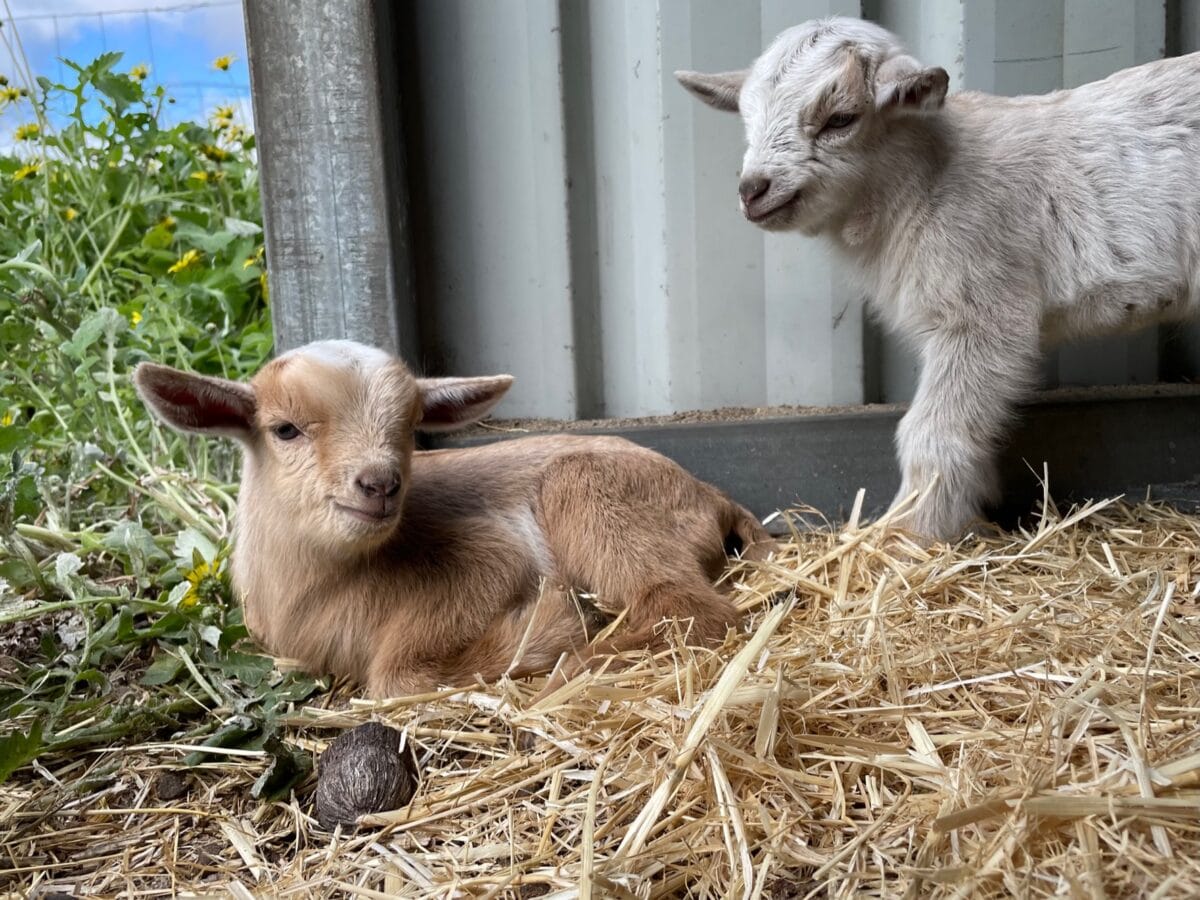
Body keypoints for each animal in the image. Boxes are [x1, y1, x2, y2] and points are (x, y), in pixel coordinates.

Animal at [134, 340, 774, 698]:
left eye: (410, 426)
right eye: (283, 428)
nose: (380, 483)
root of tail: (711, 495)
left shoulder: (485, 558)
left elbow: (396, 677)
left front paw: (547, 625)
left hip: (588, 494)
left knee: (693, 610)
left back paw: (575, 661)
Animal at [677, 16, 1200, 542]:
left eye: (841, 119)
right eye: (747, 117)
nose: (752, 191)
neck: (929, 179)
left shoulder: (982, 313)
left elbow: (930, 430)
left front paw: (907, 532)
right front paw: (970, 514)